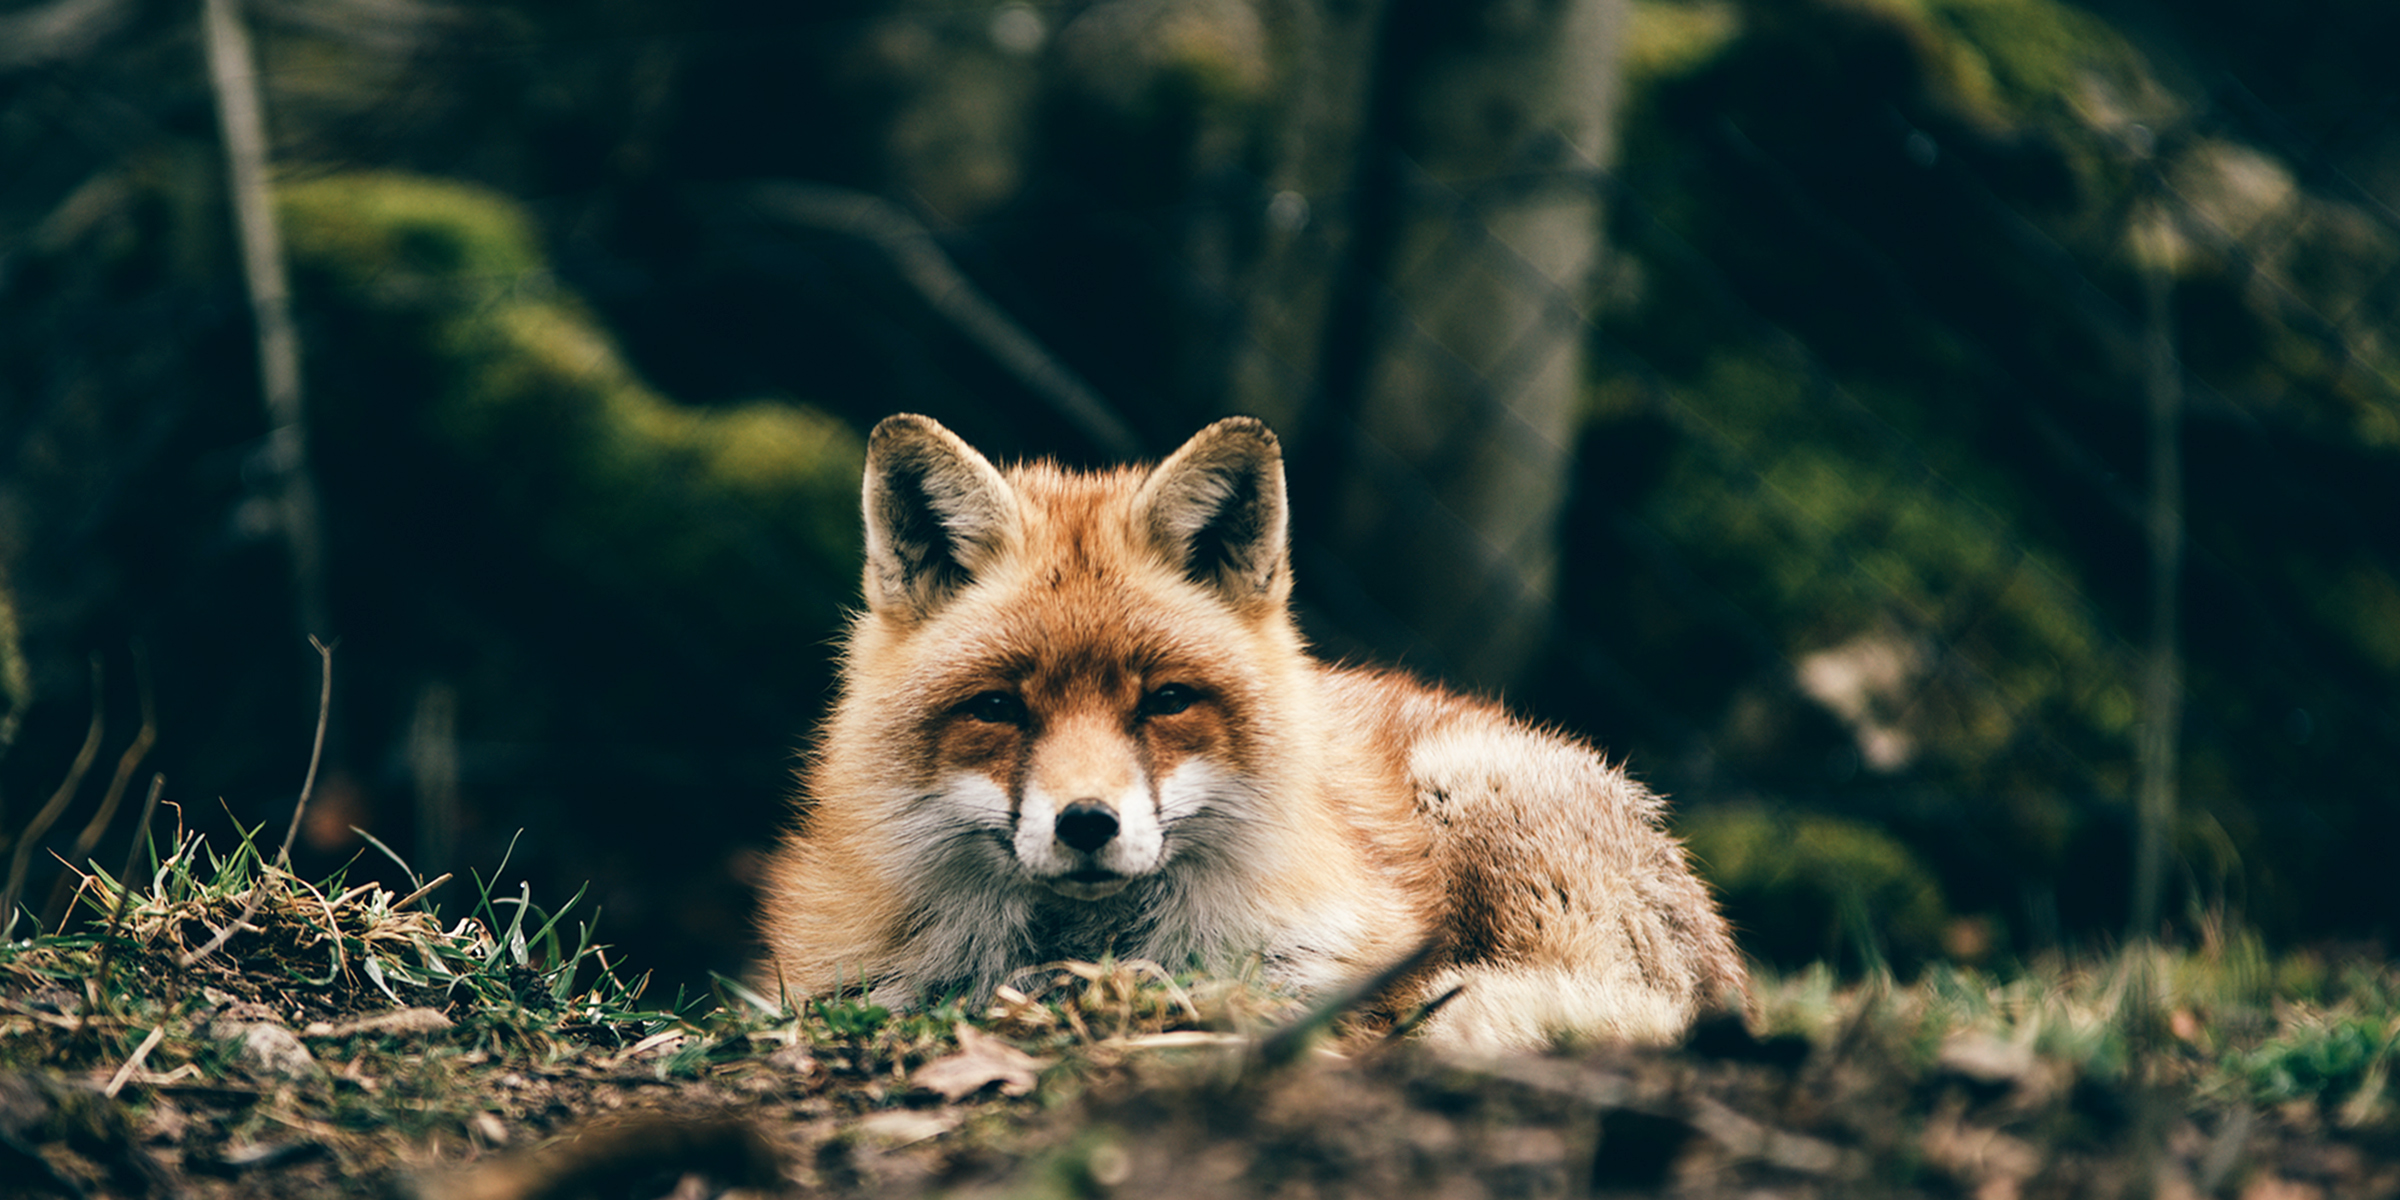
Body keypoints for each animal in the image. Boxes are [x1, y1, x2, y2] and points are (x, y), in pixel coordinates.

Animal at [753, 414, 1745, 1049]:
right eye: (999, 707)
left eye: (1165, 700)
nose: (1087, 824)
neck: (1087, 949)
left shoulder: (1335, 952)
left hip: (1471, 792)